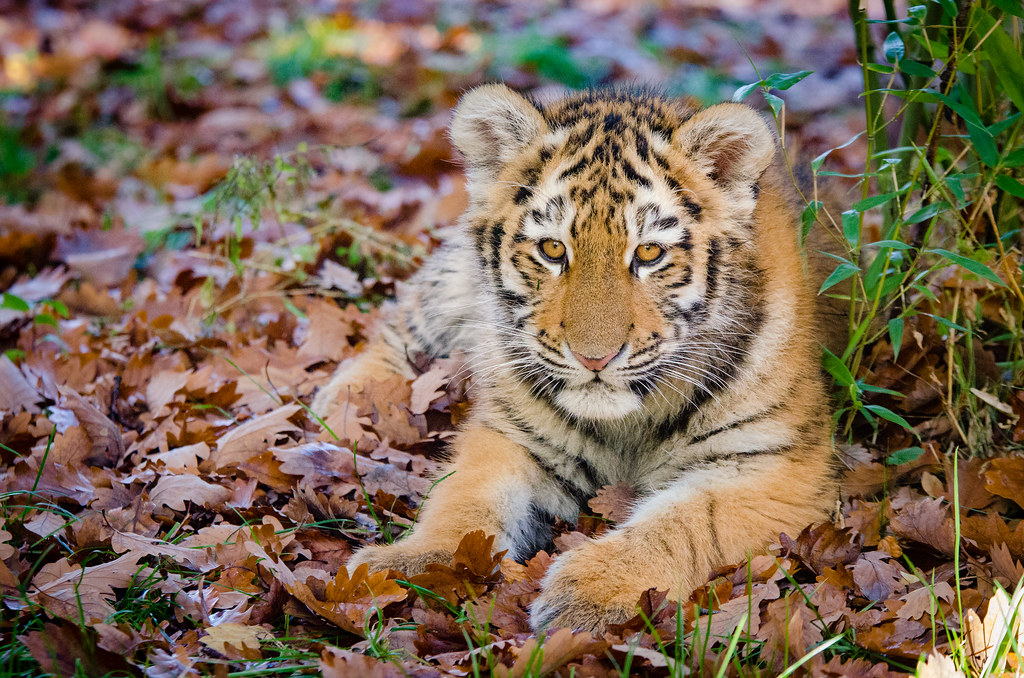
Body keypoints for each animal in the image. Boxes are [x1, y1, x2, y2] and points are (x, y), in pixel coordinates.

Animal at [312, 84, 841, 632]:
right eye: (551, 249)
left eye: (649, 254)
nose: (595, 358)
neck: (629, 423)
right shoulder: (514, 436)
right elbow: (464, 502)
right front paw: (413, 564)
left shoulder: (777, 467)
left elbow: (685, 521)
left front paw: (590, 592)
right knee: (405, 315)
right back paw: (354, 400)